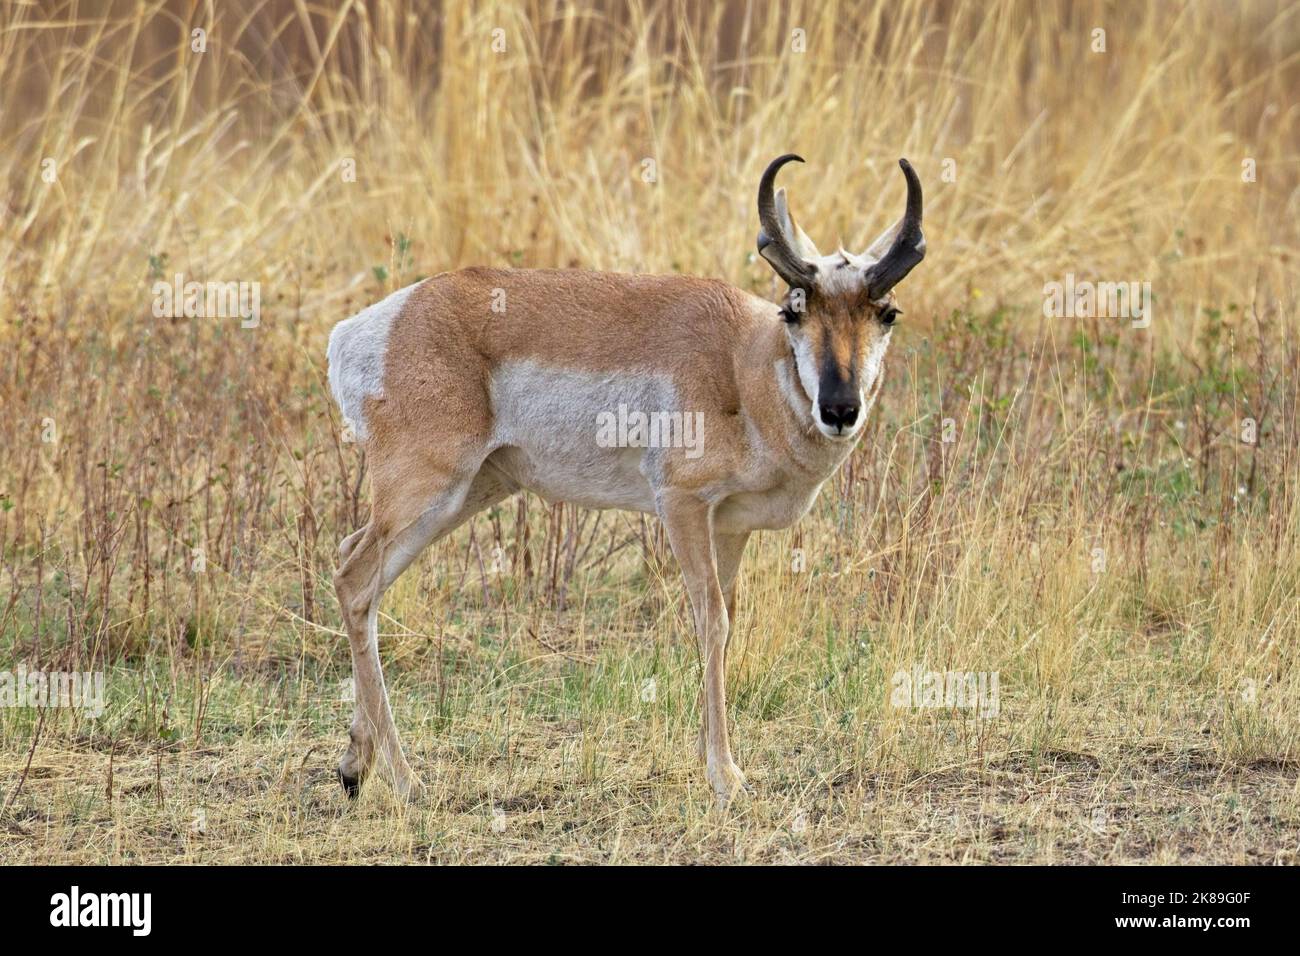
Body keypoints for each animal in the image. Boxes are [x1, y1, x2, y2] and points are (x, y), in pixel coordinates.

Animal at [327, 154, 926, 805]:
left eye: (887, 311)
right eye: (795, 309)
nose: (840, 409)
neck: (740, 362)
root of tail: (369, 328)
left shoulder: (729, 528)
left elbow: (726, 622)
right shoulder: (682, 507)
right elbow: (711, 621)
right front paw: (726, 775)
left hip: (466, 494)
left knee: (358, 574)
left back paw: (355, 767)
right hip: (428, 490)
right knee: (354, 579)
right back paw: (408, 782)